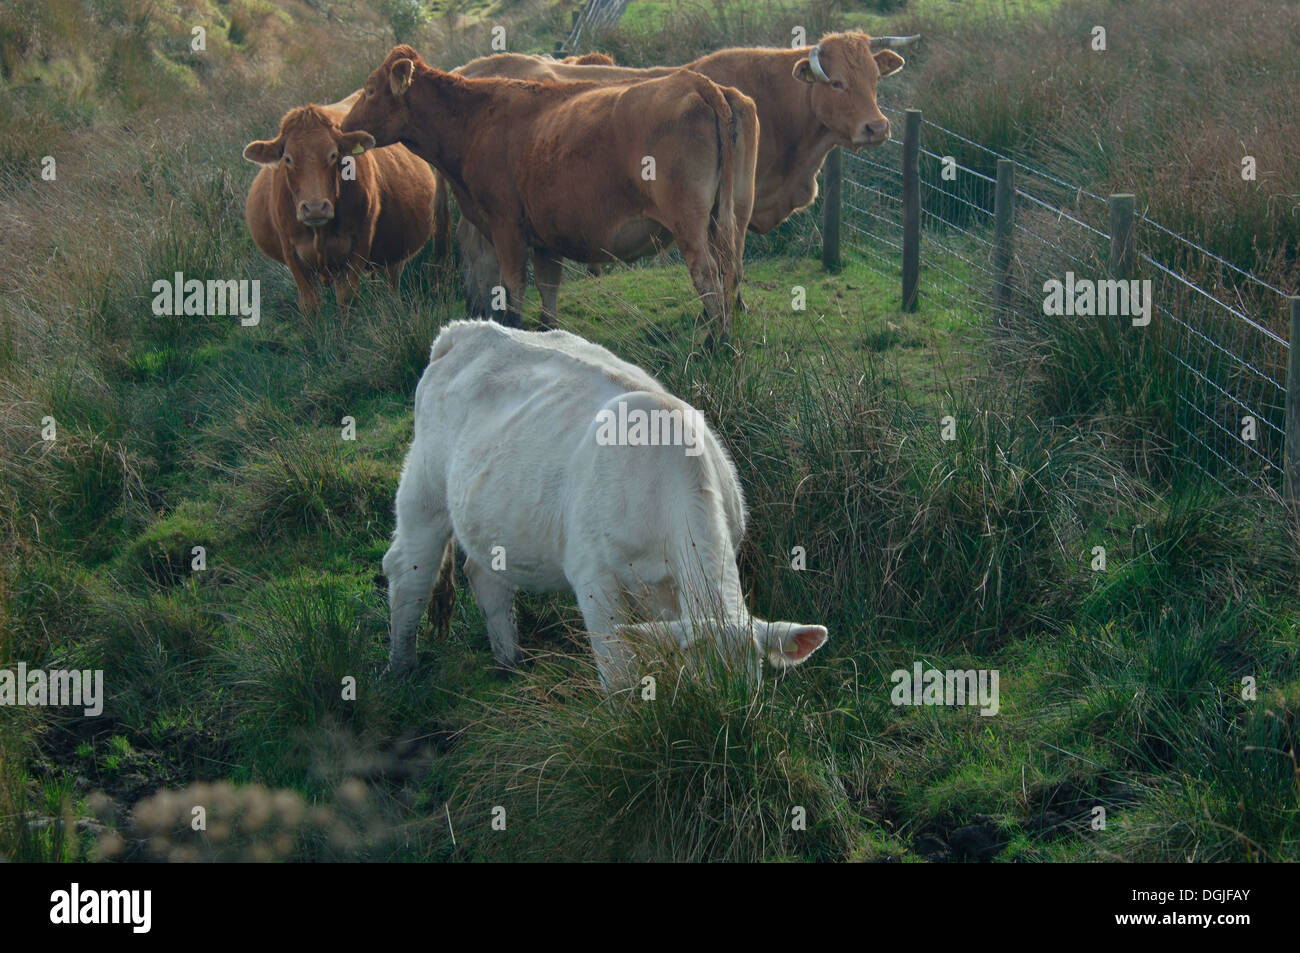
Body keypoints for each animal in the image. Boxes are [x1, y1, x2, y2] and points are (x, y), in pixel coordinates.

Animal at [243, 103, 440, 315]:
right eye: (287, 159)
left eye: (333, 155)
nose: (315, 208)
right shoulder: (290, 251)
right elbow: (309, 304)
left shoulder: (359, 245)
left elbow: (347, 298)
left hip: (396, 249)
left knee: (391, 282)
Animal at [341, 45, 758, 338]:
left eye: (370, 90)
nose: (345, 127)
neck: (474, 119)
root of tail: (697, 82)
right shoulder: (545, 237)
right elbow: (548, 291)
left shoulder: (506, 227)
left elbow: (514, 288)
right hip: (733, 214)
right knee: (732, 270)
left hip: (690, 225)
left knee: (708, 276)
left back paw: (715, 343)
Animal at [381, 319, 829, 687]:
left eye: (755, 684)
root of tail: (464, 330)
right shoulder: (595, 581)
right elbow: (619, 675)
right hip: (424, 490)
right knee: (409, 570)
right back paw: (400, 667)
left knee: (484, 575)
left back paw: (509, 661)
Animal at [445, 32, 916, 315]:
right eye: (836, 83)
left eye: (875, 79)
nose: (877, 127)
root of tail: (472, 68)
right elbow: (728, 264)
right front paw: (731, 310)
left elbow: (730, 263)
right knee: (477, 249)